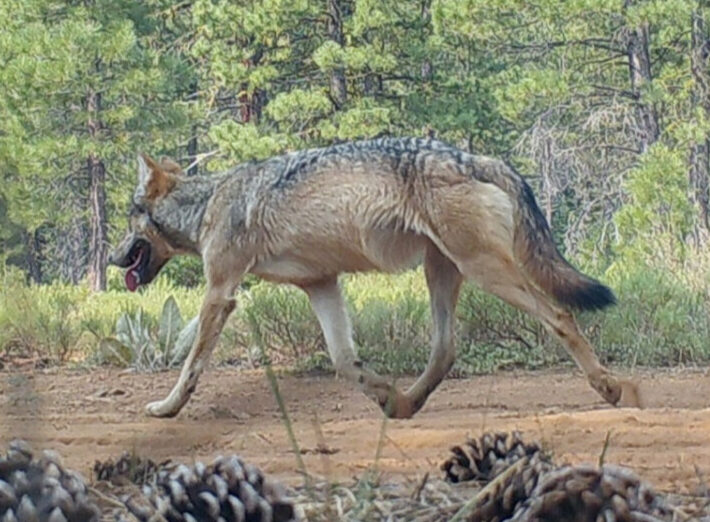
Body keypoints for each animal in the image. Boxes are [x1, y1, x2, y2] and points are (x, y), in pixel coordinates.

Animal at [109, 137, 640, 419]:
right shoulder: (322, 285)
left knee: (560, 315)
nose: (113, 260)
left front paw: (165, 408)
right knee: (445, 350)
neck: (205, 205)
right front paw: (382, 390)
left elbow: (189, 366)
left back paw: (611, 388)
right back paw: (404, 404)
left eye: (127, 219)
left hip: (487, 272)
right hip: (442, 274)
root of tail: (474, 157)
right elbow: (345, 363)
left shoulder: (220, 293)